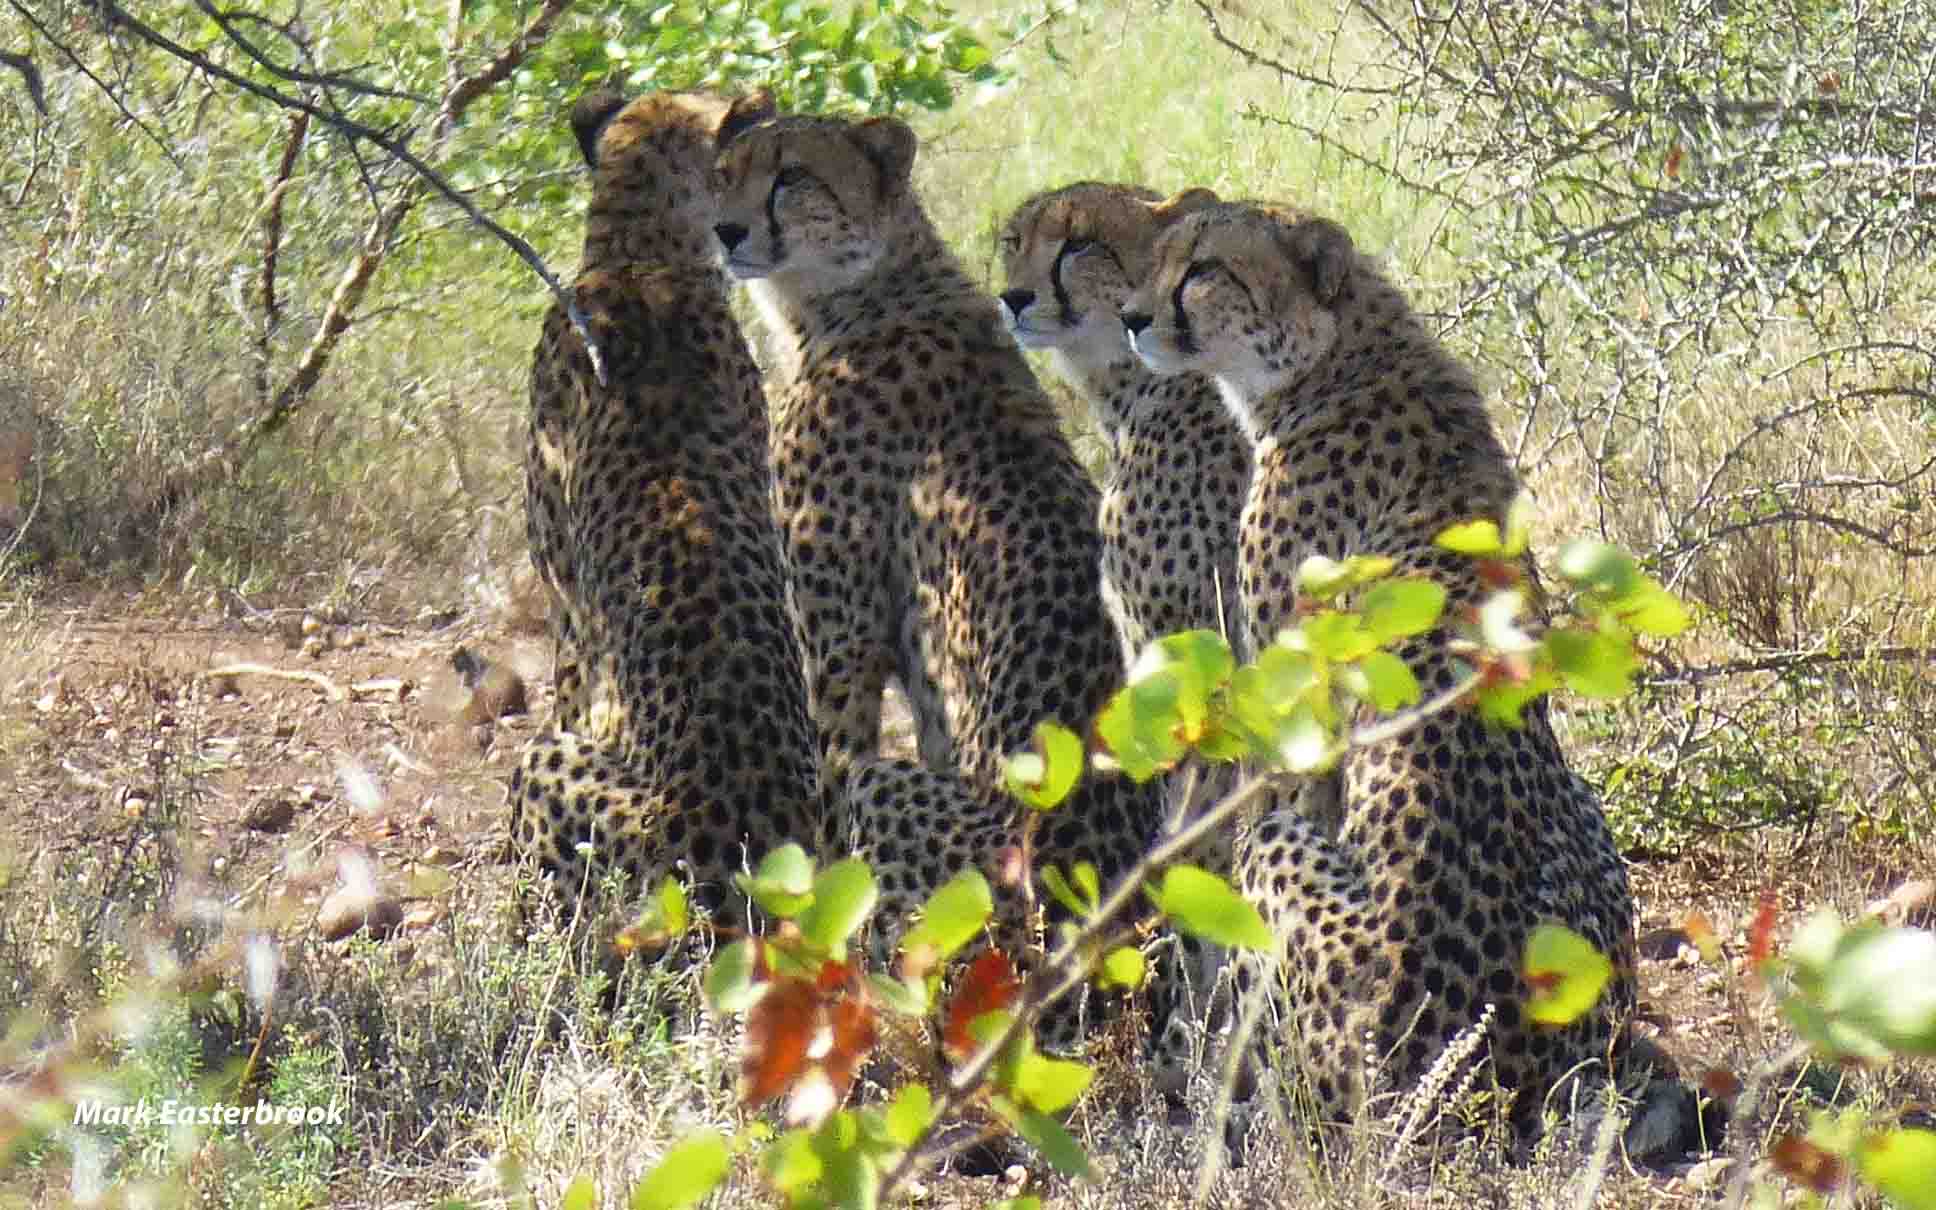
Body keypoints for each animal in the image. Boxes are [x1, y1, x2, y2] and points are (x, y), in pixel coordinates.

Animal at [712, 116, 1167, 1031]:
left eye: (790, 177)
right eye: (729, 171)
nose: (726, 231)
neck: (865, 289)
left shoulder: (840, 654)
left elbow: (828, 790)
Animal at [1120, 199, 1639, 1146]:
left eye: (1204, 269)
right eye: (1161, 257)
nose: (1136, 319)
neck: (1339, 357)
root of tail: (1487, 1091)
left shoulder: (1289, 729)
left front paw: (1209, 1060)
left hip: (1296, 891)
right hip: (1583, 815)